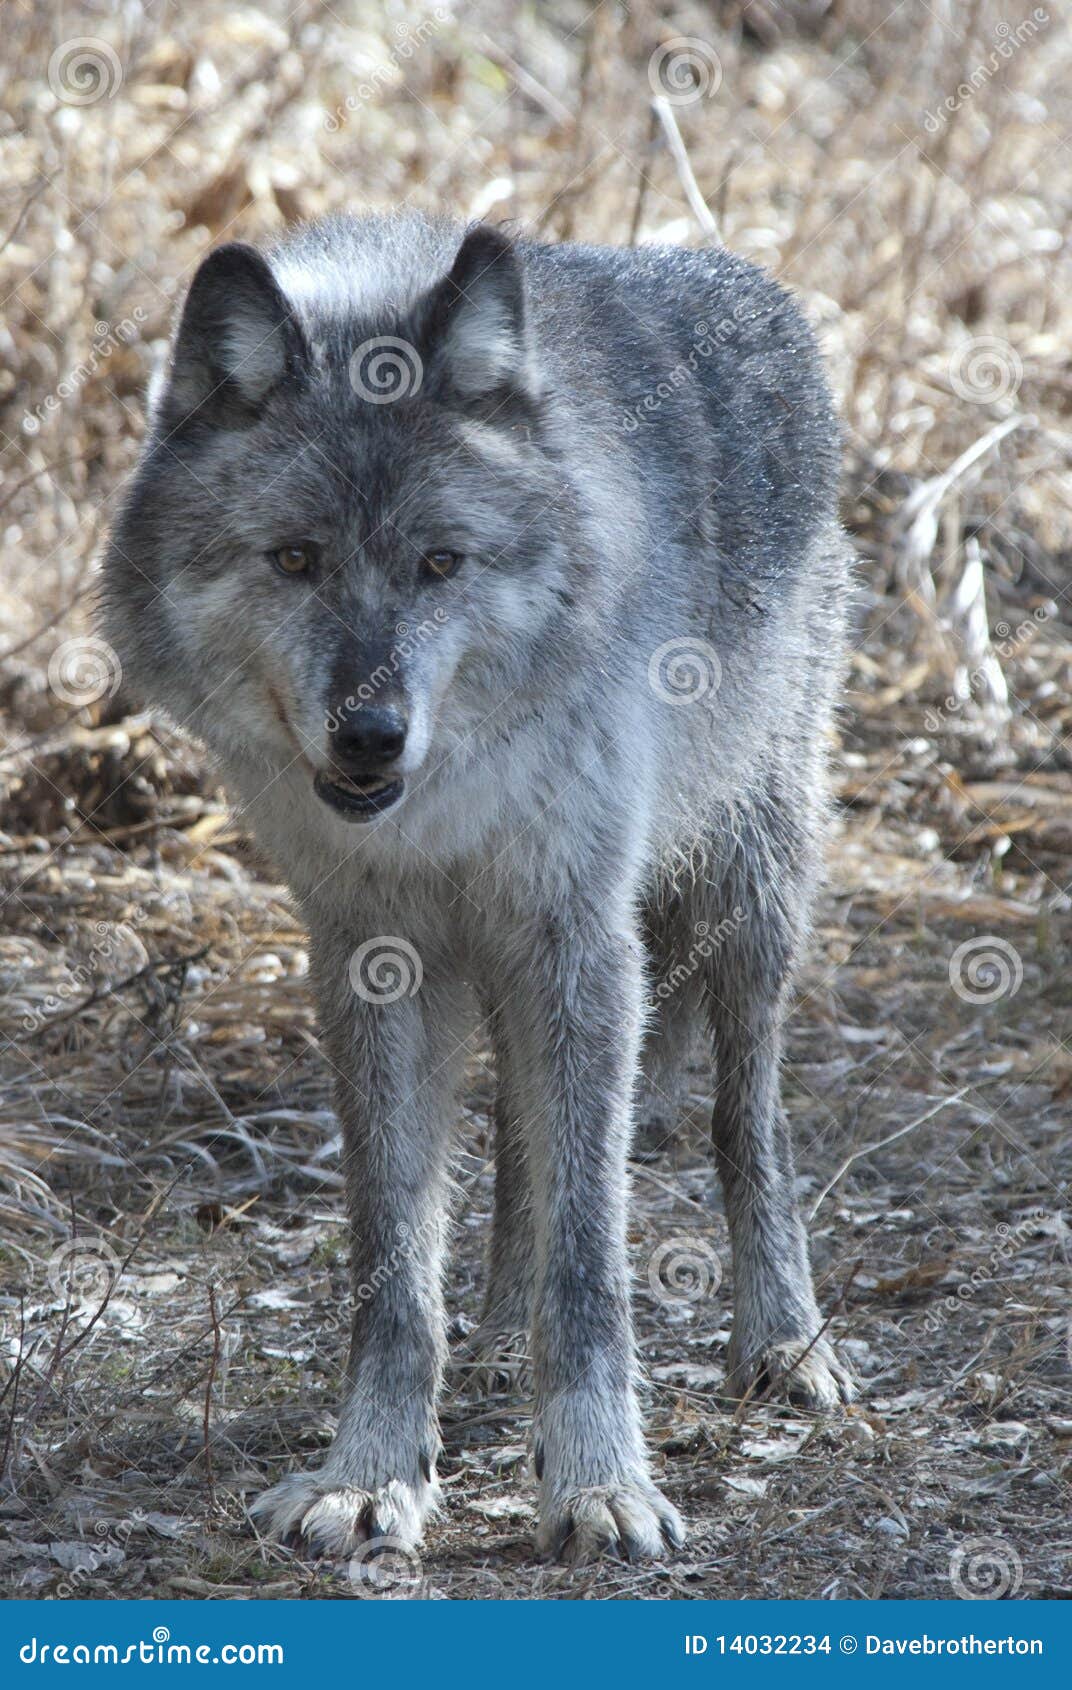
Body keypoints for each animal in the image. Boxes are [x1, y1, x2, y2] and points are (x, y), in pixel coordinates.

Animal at [101, 210, 854, 1565]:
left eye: (440, 562)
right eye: (295, 559)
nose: (369, 736)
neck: (439, 801)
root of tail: (747, 282)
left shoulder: (580, 940)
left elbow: (591, 1249)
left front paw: (601, 1481)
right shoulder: (375, 956)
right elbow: (395, 1261)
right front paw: (372, 1473)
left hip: (746, 901)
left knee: (746, 1122)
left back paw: (783, 1341)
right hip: (513, 957)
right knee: (515, 1141)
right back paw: (500, 1342)